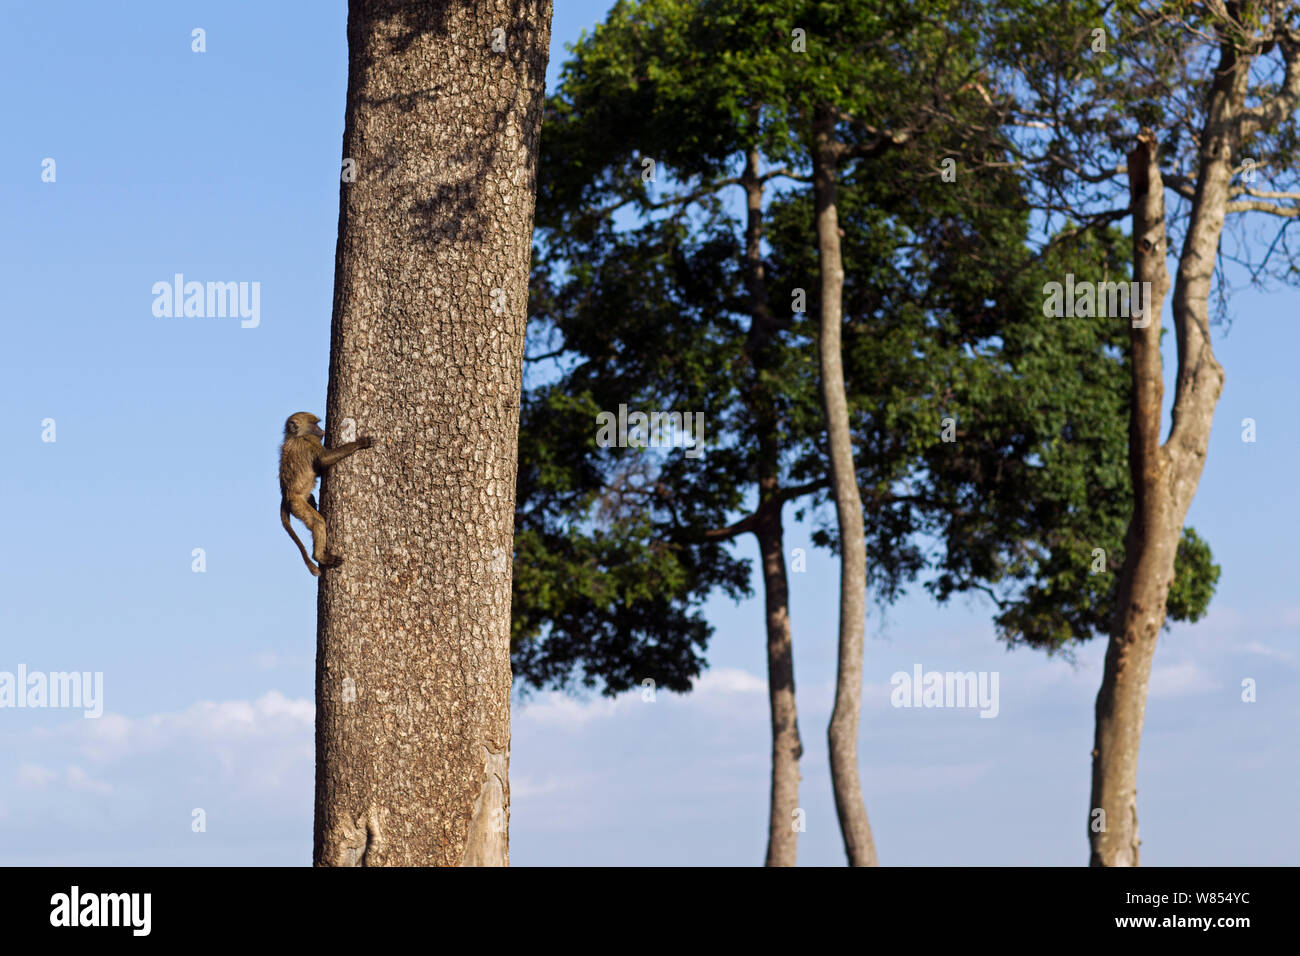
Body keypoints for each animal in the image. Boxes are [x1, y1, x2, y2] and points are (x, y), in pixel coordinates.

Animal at [279, 412, 375, 576]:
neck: (296, 436)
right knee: (317, 522)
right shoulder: (310, 440)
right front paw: (361, 443)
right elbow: (324, 460)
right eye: (315, 424)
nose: (322, 431)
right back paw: (320, 557)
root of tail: (286, 494)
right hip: (297, 504)